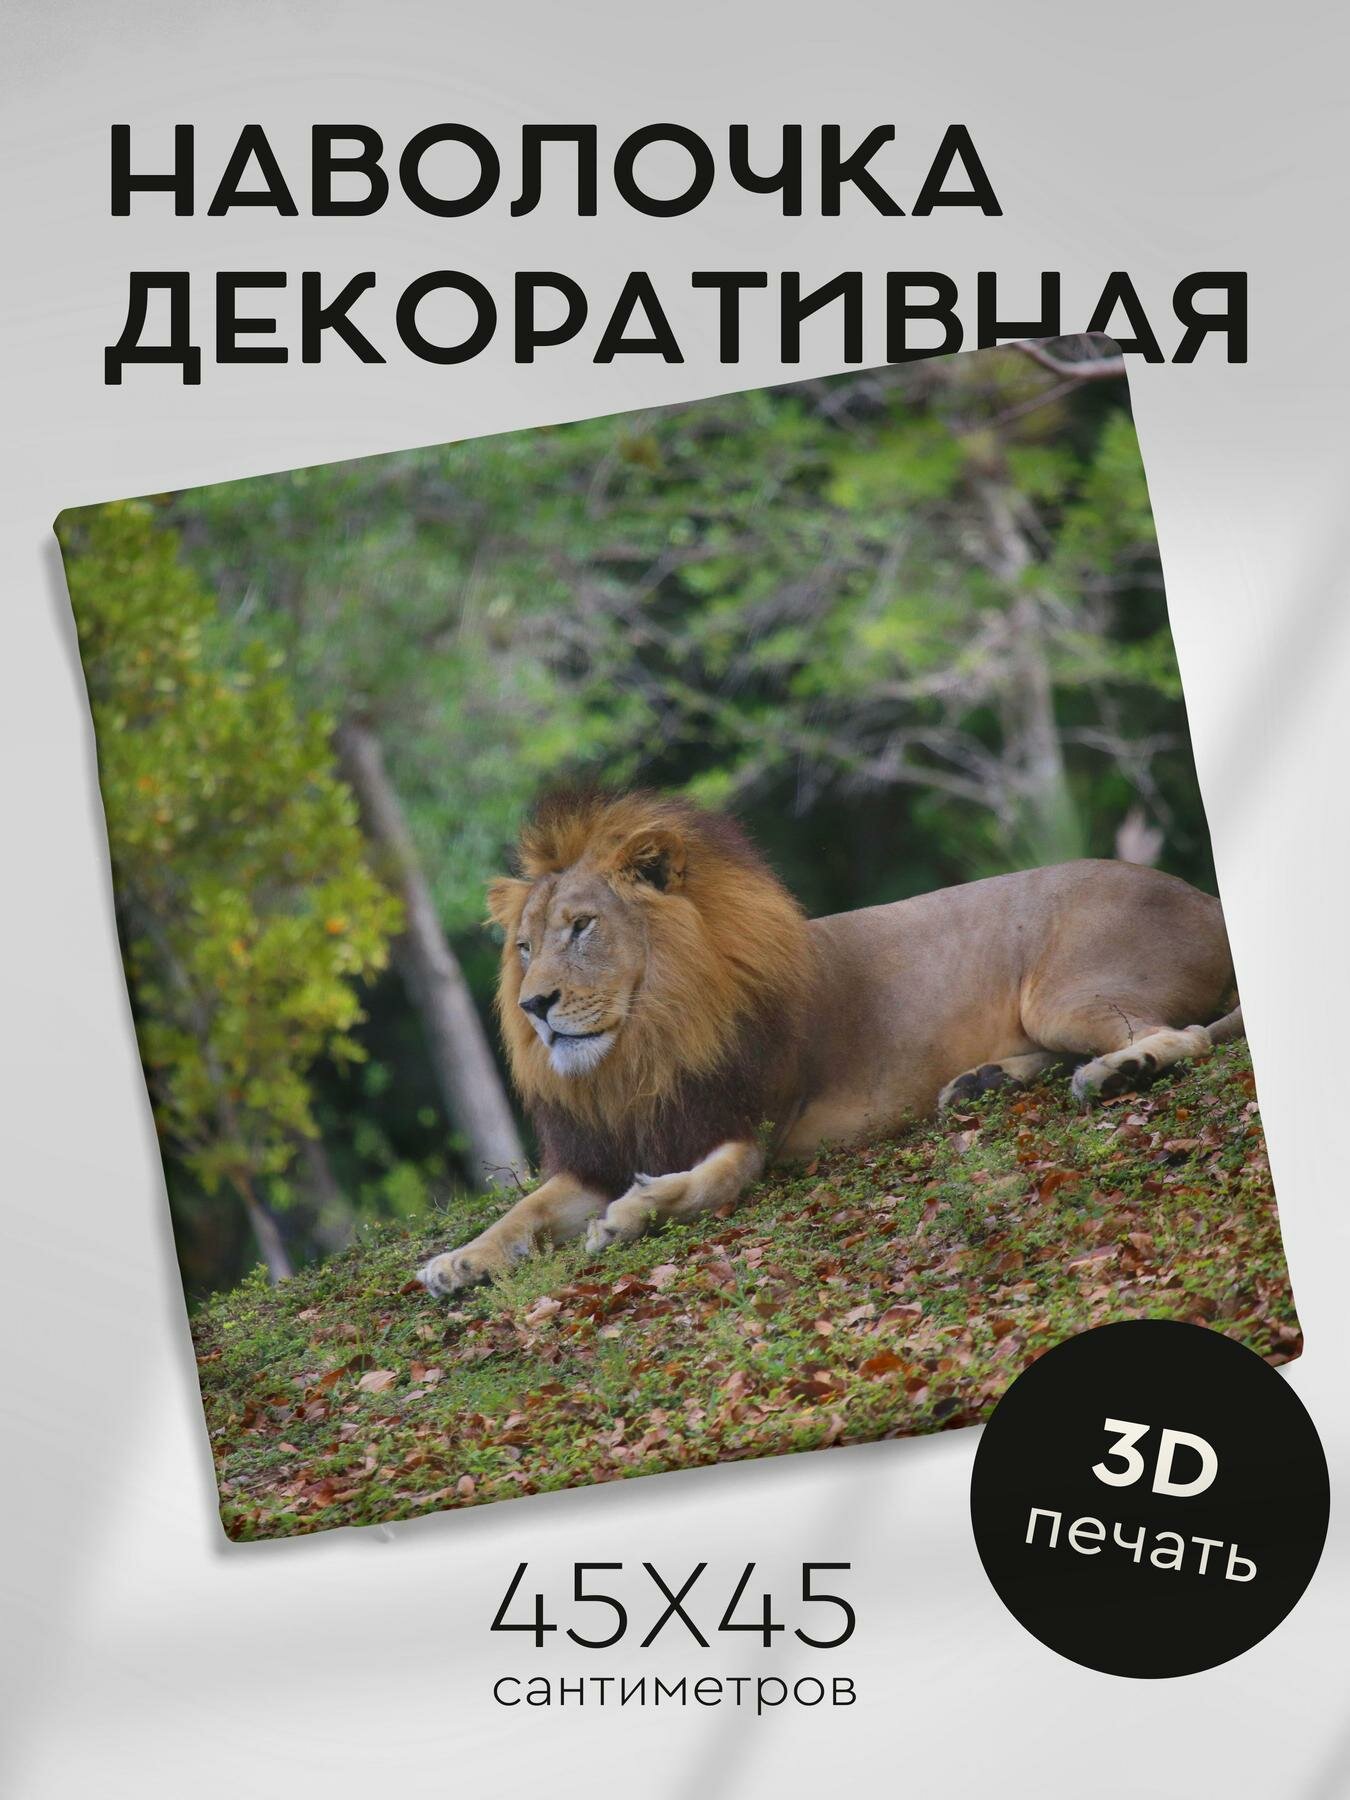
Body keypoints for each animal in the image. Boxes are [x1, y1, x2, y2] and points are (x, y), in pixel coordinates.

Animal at [417, 790, 1242, 1295]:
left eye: (582, 928)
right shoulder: (599, 1153)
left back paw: (1116, 1071)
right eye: (524, 947)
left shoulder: (748, 1126)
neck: (637, 1054)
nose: (534, 1005)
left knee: (1186, 1036)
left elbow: (707, 1184)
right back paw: (983, 1083)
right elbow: (520, 1214)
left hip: (1062, 995)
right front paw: (457, 1262)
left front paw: (631, 1215)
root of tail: (1206, 900)